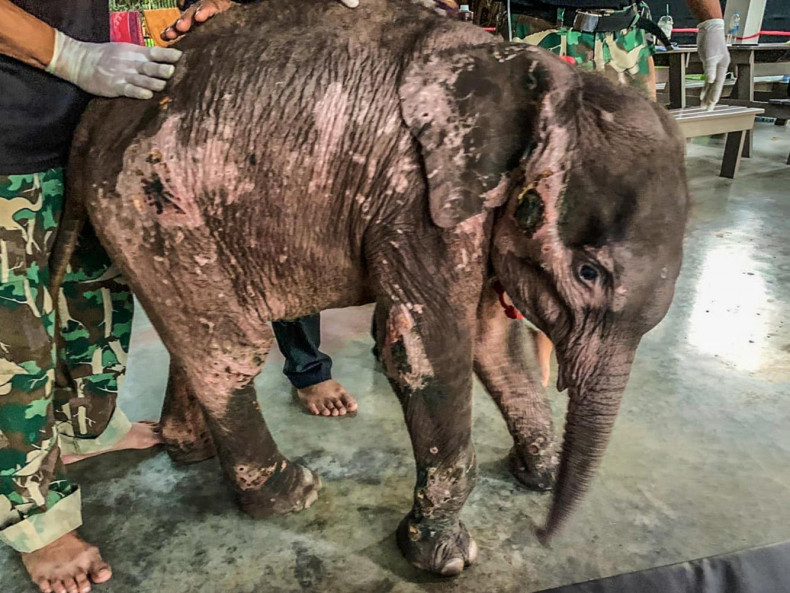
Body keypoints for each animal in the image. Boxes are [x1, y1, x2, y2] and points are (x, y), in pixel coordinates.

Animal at [54, 0, 690, 577]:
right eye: (589, 273)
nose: (544, 532)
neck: (537, 77)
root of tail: (91, 122)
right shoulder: (416, 202)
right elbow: (430, 353)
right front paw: (446, 560)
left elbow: (492, 339)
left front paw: (539, 473)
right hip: (154, 207)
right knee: (230, 351)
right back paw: (291, 493)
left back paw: (192, 449)